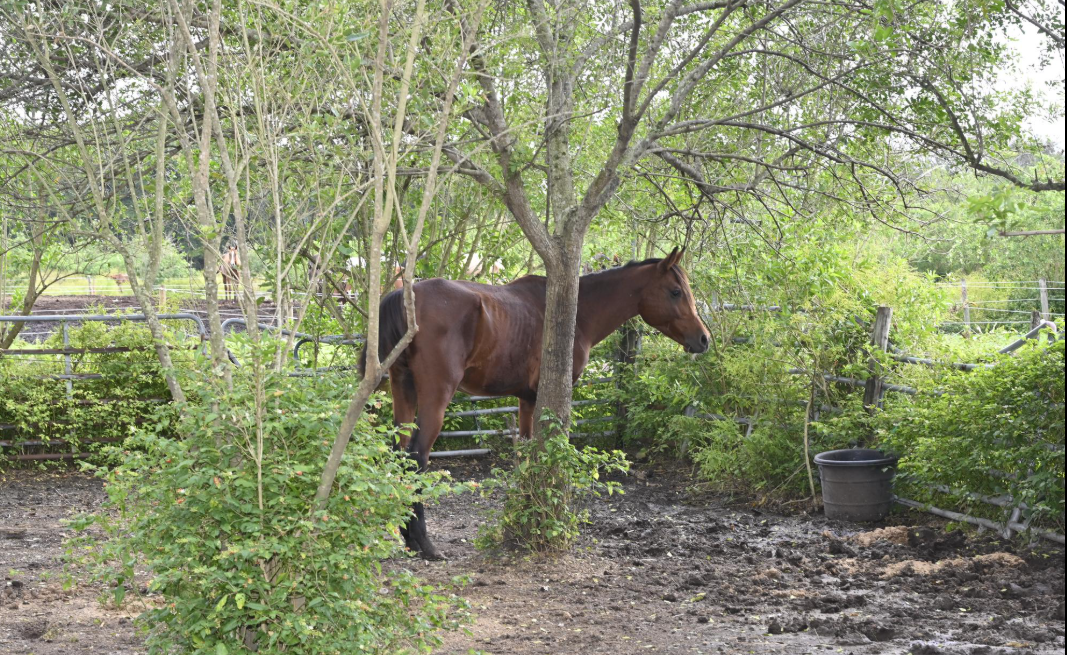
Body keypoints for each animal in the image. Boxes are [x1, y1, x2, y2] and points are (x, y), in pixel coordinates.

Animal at [361, 247, 709, 559]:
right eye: (676, 291)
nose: (704, 339)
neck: (578, 314)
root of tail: (404, 296)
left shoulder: (526, 399)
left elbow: (527, 454)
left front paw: (522, 514)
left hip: (403, 390)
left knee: (399, 454)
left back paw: (407, 539)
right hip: (435, 398)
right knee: (416, 457)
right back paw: (425, 544)